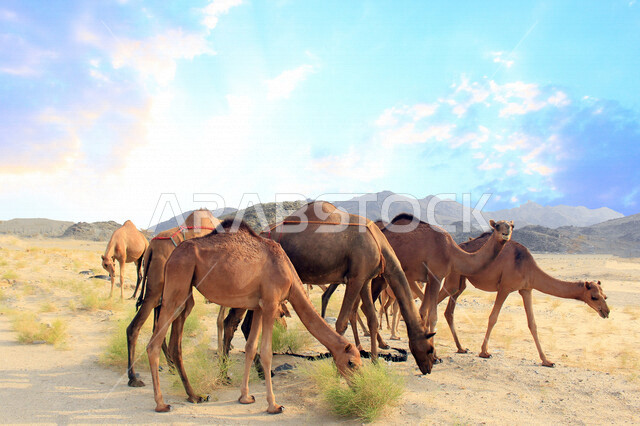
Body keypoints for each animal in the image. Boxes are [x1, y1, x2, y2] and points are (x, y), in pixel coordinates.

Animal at [126, 209, 220, 387]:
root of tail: (151, 248)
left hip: (160, 291)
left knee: (154, 327)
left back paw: (167, 366)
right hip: (156, 290)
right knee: (135, 327)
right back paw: (134, 377)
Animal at [146, 219, 362, 414]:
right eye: (351, 363)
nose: (357, 386)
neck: (289, 277)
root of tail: (172, 256)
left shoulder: (258, 307)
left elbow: (251, 348)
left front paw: (245, 397)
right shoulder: (270, 303)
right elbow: (266, 352)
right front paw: (274, 405)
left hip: (186, 293)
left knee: (176, 343)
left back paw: (194, 395)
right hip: (177, 284)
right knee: (153, 343)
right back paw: (161, 404)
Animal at [223, 201, 437, 374]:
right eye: (430, 348)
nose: (429, 366)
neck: (380, 245)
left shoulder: (365, 278)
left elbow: (372, 319)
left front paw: (375, 361)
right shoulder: (355, 278)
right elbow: (342, 322)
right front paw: (339, 365)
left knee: (242, 323)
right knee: (234, 321)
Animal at [438, 233, 610, 366]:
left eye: (605, 296)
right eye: (594, 297)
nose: (606, 312)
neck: (527, 266)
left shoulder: (527, 289)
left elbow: (532, 323)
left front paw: (547, 361)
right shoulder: (505, 287)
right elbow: (493, 317)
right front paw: (484, 352)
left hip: (461, 282)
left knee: (449, 311)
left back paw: (461, 348)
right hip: (453, 279)